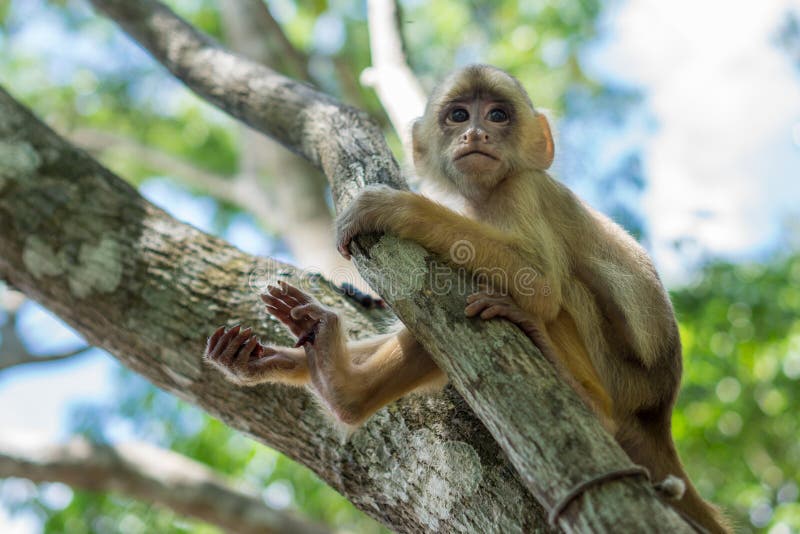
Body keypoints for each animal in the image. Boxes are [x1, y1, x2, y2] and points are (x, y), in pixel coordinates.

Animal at [205, 65, 730, 533]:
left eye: (497, 115)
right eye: (458, 115)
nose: (476, 132)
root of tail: (658, 411)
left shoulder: (523, 187)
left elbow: (541, 283)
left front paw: (397, 207)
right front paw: (276, 359)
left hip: (622, 379)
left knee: (559, 293)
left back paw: (583, 393)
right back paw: (340, 386)